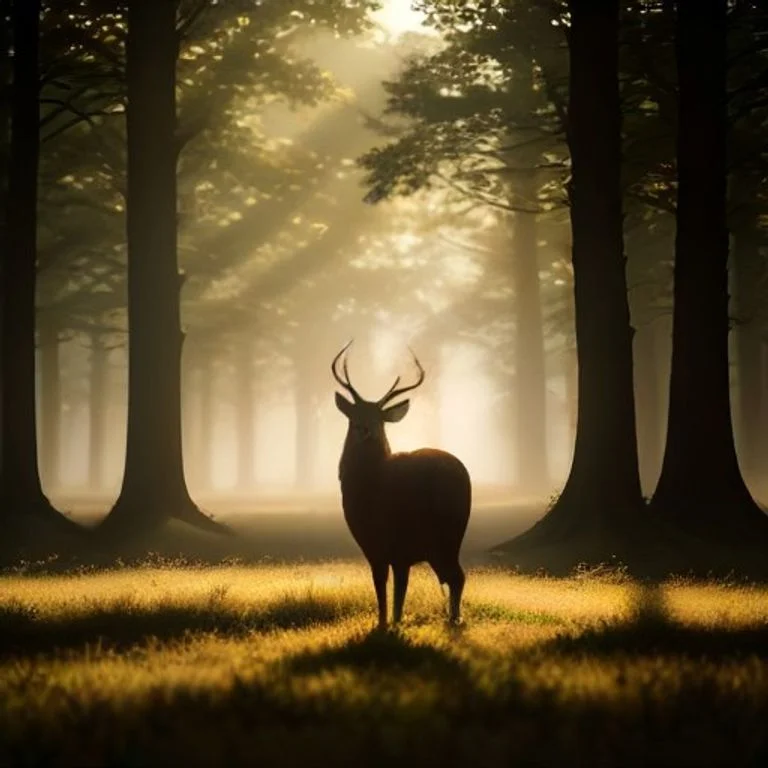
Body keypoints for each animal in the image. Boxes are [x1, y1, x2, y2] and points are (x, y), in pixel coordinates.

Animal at [331, 339, 472, 628]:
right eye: (354, 414)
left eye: (379, 418)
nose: (365, 429)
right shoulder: (392, 550)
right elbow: (394, 592)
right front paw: (391, 623)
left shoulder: (385, 545)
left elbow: (387, 590)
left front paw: (385, 624)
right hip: (447, 537)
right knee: (456, 575)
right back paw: (454, 618)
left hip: (442, 534)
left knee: (456, 575)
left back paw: (454, 619)